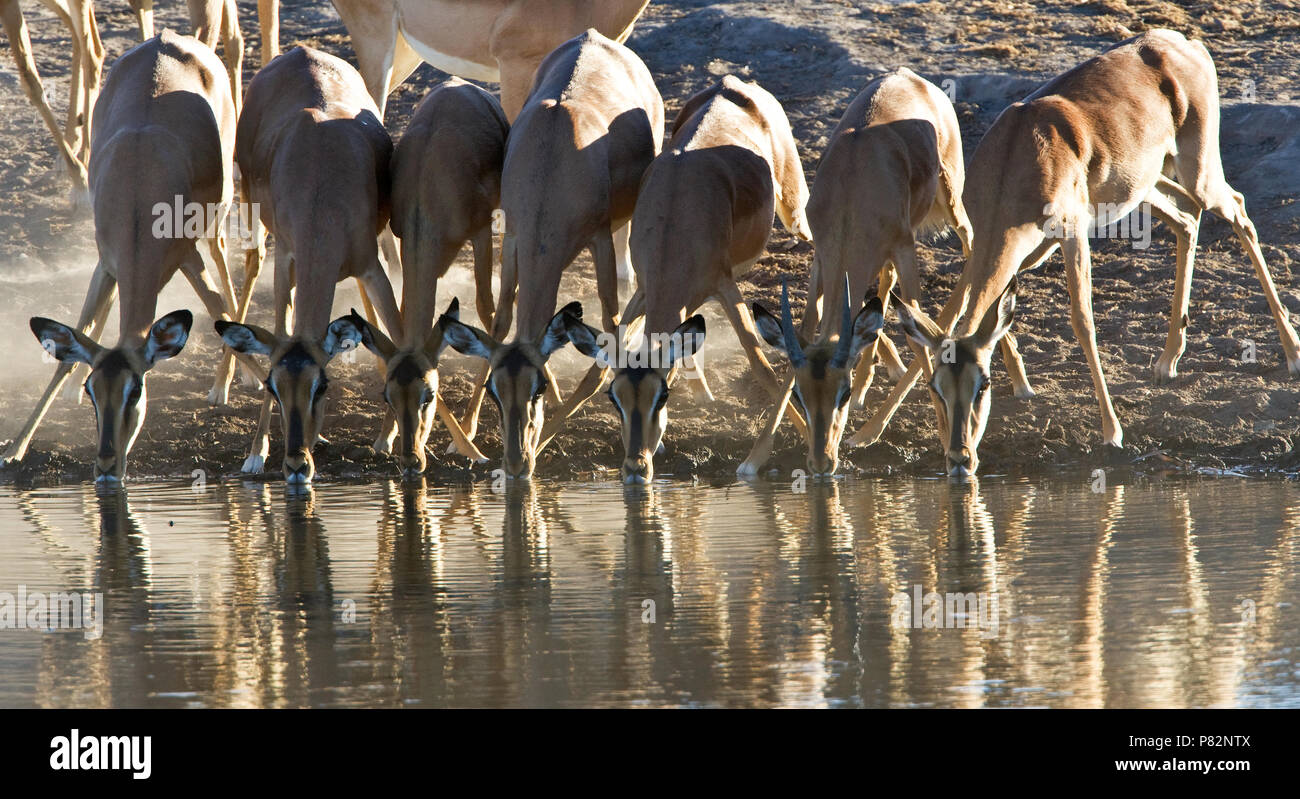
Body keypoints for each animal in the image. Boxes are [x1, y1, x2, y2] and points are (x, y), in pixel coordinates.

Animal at [2, 32, 243, 481]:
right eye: (94, 391)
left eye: (137, 391)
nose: (107, 464)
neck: (138, 189)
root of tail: (170, 38)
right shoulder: (106, 263)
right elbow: (75, 338)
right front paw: (15, 448)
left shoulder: (186, 256)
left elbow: (216, 306)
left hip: (217, 218)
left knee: (227, 277)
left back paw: (226, 381)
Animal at [217, 46, 406, 484]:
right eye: (273, 387)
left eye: (322, 386)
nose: (296, 464)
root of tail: (302, 51)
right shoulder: (288, 257)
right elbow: (280, 332)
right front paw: (256, 453)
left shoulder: (370, 266)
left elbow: (399, 341)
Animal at [449, 28, 664, 468]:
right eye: (496, 391)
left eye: (538, 389)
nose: (516, 461)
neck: (553, 159)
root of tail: (594, 36)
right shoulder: (515, 237)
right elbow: (501, 319)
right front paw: (465, 434)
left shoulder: (599, 238)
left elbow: (608, 329)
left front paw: (546, 436)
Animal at [540, 75, 816, 456]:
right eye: (616, 399)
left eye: (662, 396)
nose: (639, 453)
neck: (675, 220)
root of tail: (731, 82)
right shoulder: (644, 291)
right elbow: (594, 373)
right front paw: (533, 448)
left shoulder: (726, 287)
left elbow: (761, 366)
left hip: (796, 214)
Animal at [853, 29, 1300, 476]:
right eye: (937, 387)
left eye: (985, 384)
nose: (960, 459)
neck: (1015, 159)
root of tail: (1184, 42)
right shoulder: (984, 246)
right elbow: (947, 314)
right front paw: (865, 434)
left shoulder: (1072, 233)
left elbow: (1083, 319)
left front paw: (1112, 433)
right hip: (1147, 186)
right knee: (1187, 218)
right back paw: (1167, 361)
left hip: (1199, 171)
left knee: (1238, 210)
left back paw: (1292, 352)